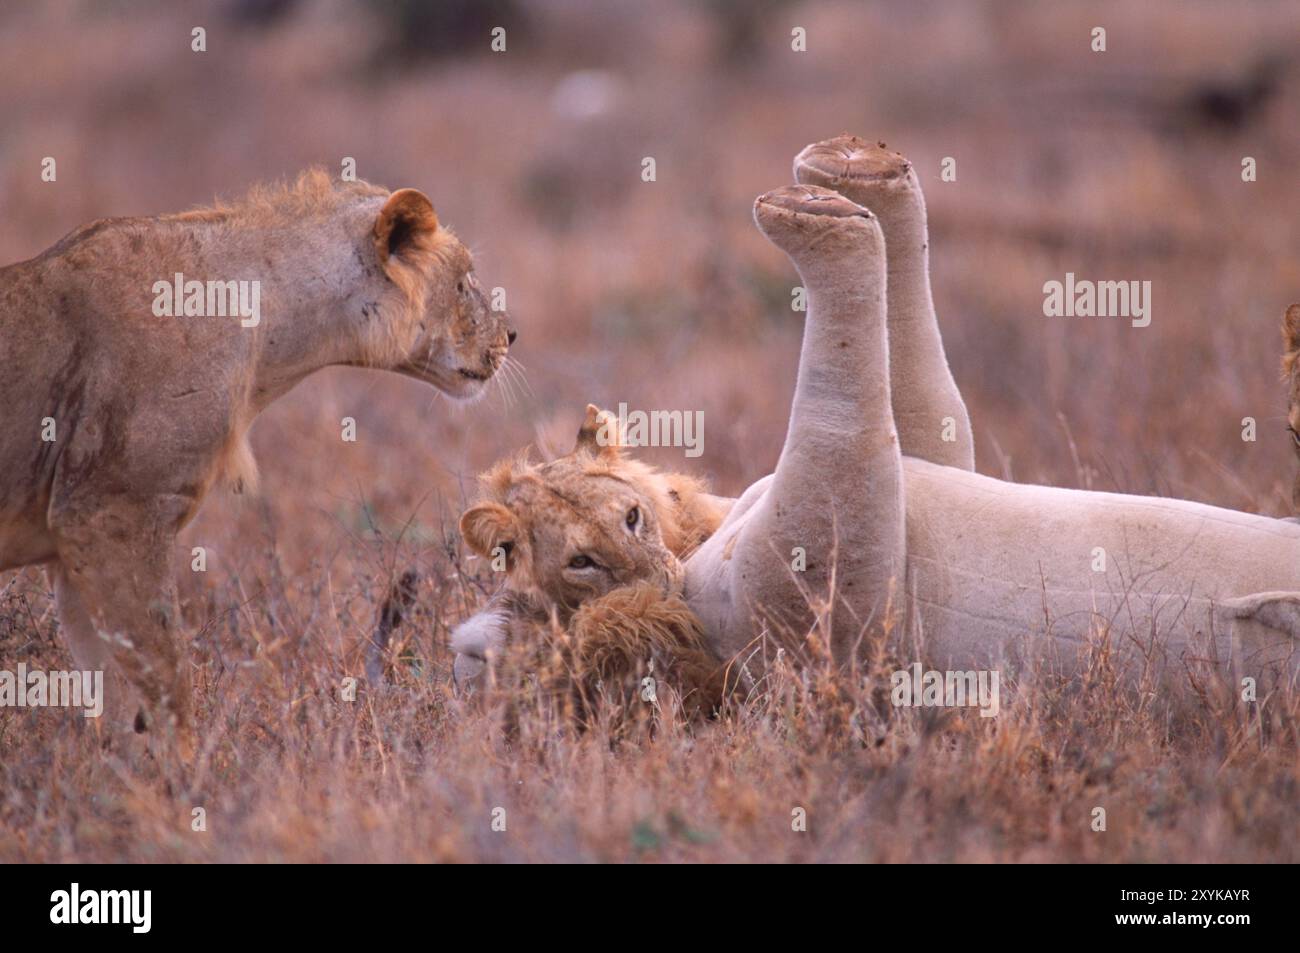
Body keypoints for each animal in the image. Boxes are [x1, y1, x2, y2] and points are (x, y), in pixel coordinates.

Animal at [0, 169, 515, 757]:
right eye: (465, 279)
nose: (511, 335)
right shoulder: (108, 515)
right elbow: (166, 683)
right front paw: (187, 777)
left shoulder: (73, 545)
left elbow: (119, 707)